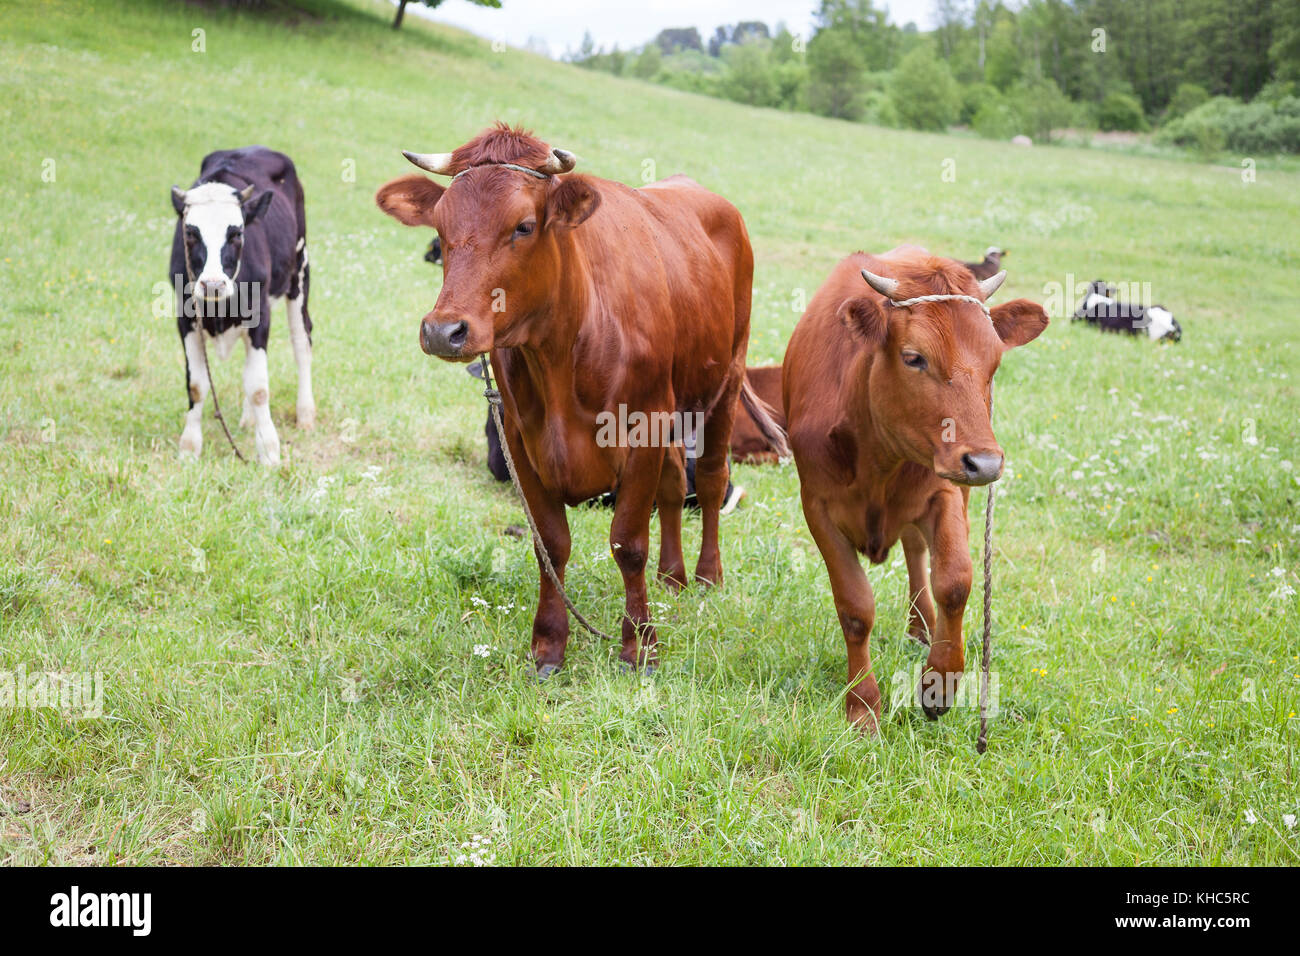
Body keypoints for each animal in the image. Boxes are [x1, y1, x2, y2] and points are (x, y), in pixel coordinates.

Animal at [169, 147, 314, 466]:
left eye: (236, 234)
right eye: (190, 234)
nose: (212, 284)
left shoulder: (260, 315)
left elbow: (258, 387)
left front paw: (269, 450)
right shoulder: (185, 317)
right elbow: (196, 385)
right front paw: (189, 447)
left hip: (300, 270)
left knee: (302, 343)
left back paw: (305, 414)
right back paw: (249, 420)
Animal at [375, 123, 785, 674]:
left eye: (524, 227)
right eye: (440, 228)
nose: (443, 331)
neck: (561, 355)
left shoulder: (642, 427)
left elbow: (628, 543)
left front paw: (639, 645)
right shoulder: (519, 439)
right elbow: (551, 544)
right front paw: (549, 646)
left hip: (725, 380)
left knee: (712, 477)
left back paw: (705, 576)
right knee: (675, 485)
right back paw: (672, 577)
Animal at [783, 246, 1048, 731]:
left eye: (995, 363)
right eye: (913, 357)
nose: (985, 463)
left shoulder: (945, 493)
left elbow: (955, 581)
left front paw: (939, 682)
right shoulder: (817, 506)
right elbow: (855, 608)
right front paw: (862, 705)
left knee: (917, 553)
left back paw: (922, 628)